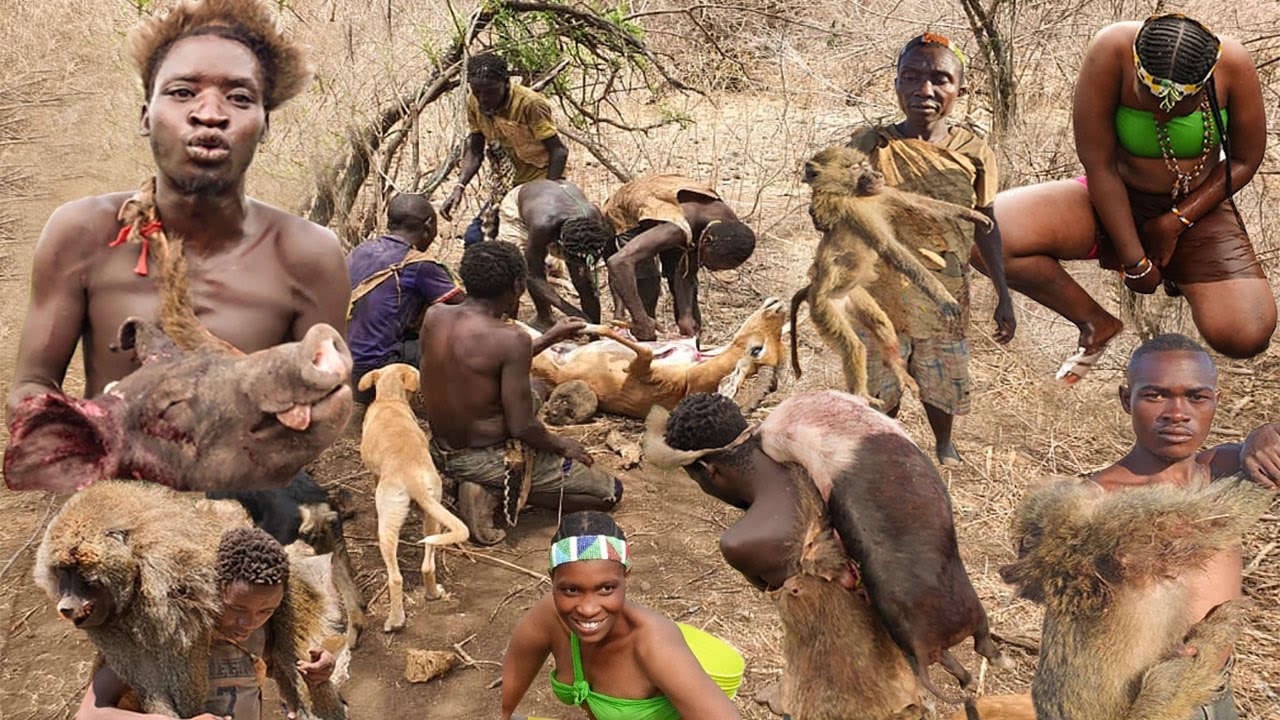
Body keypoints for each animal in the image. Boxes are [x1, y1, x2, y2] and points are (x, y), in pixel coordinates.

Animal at [790, 146, 991, 400]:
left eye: (864, 165)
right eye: (855, 168)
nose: (877, 175)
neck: (856, 195)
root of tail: (812, 288)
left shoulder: (882, 193)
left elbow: (917, 202)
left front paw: (975, 215)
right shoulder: (853, 210)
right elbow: (889, 247)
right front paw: (944, 298)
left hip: (854, 296)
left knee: (882, 325)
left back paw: (898, 371)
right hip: (823, 306)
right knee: (853, 346)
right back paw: (862, 397)